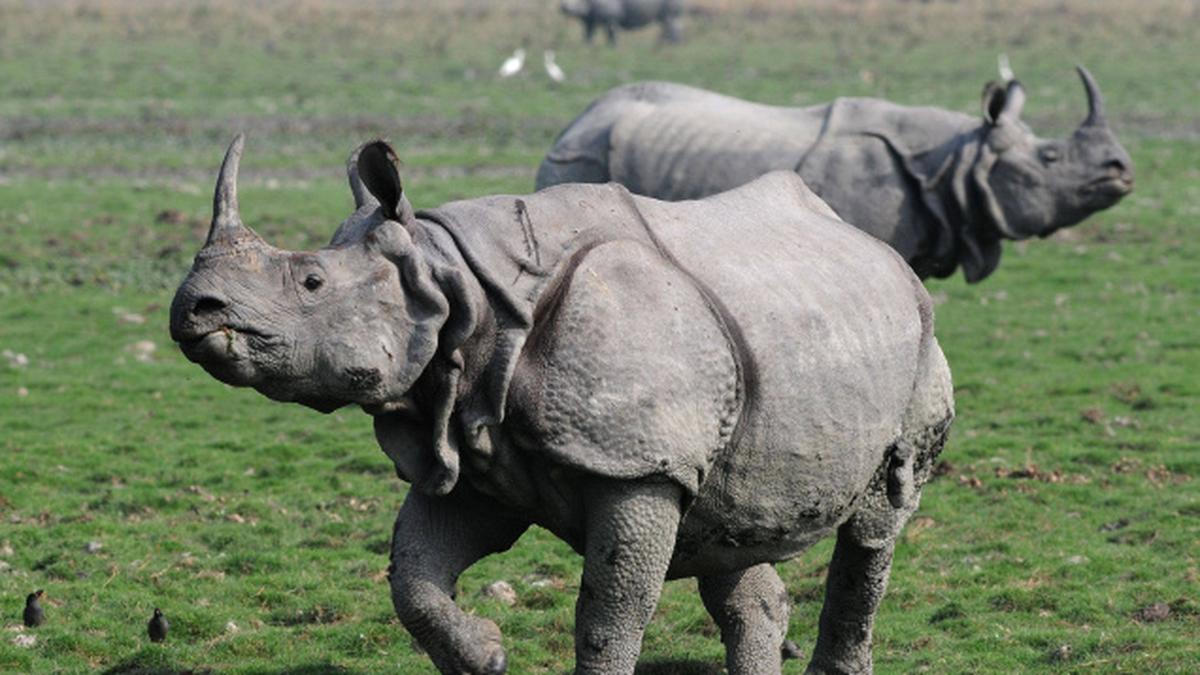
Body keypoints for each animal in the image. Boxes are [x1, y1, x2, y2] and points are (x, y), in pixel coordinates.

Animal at [170, 135, 954, 674]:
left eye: (310, 281)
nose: (193, 309)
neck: (456, 287)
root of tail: (875, 245)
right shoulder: (474, 447)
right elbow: (412, 576)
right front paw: (484, 654)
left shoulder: (640, 465)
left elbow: (610, 609)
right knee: (731, 524)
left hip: (921, 341)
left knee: (876, 523)